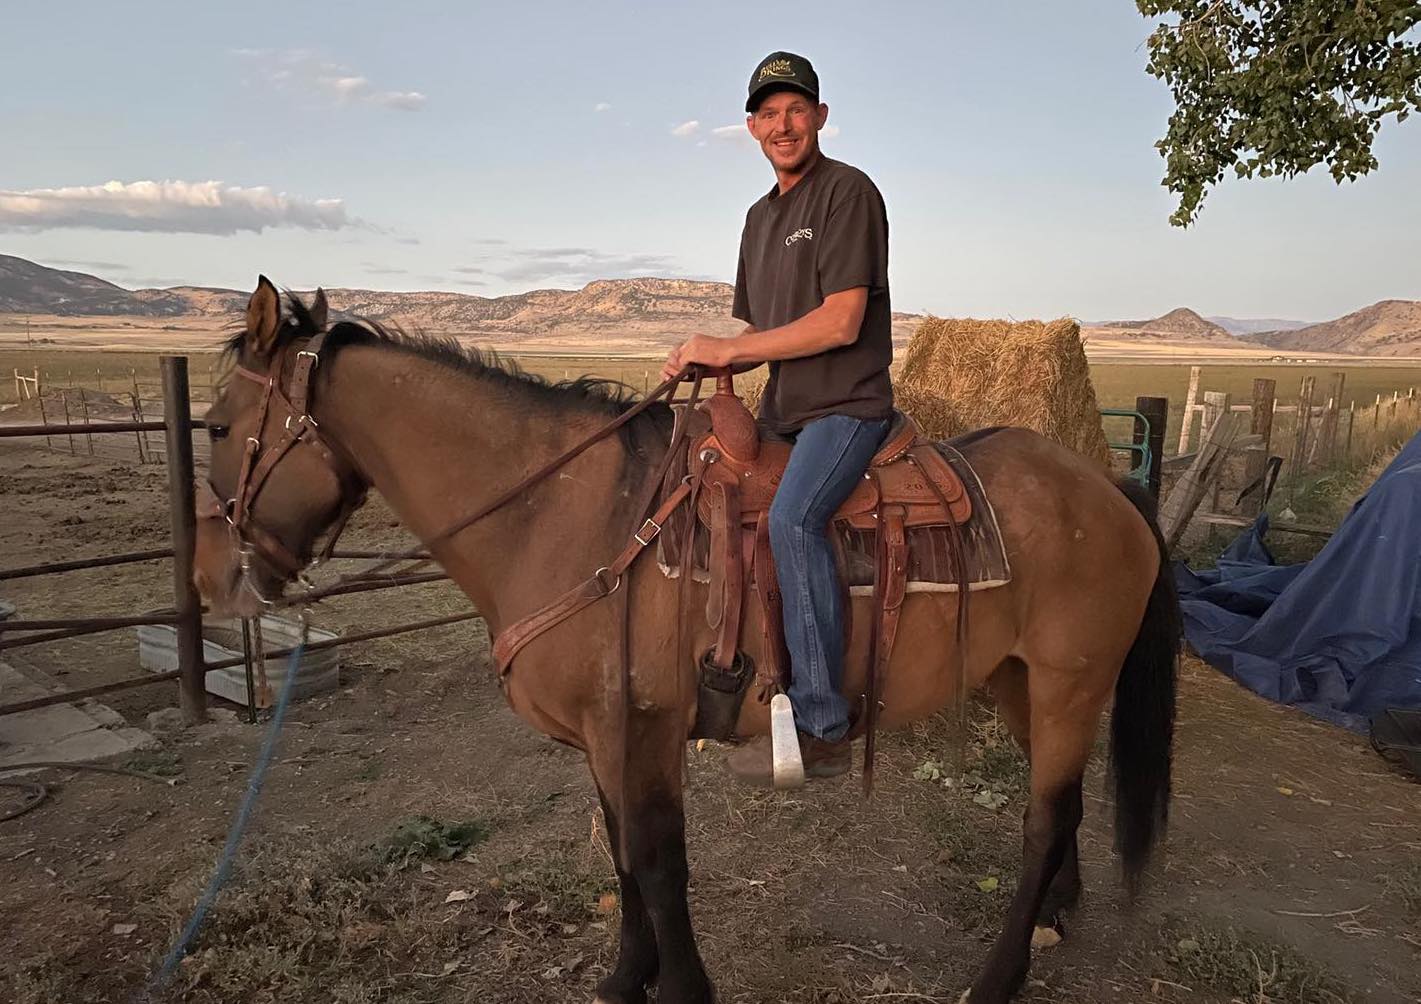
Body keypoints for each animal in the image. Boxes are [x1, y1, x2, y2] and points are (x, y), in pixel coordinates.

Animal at [192, 277, 1179, 1004]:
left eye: (217, 425)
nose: (209, 577)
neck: (562, 514)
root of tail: (1108, 487)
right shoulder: (607, 740)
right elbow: (624, 855)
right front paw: (626, 978)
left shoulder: (644, 727)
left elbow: (659, 864)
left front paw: (679, 987)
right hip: (1017, 682)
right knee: (1059, 811)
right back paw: (1055, 916)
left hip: (1067, 683)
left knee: (1044, 819)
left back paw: (997, 976)